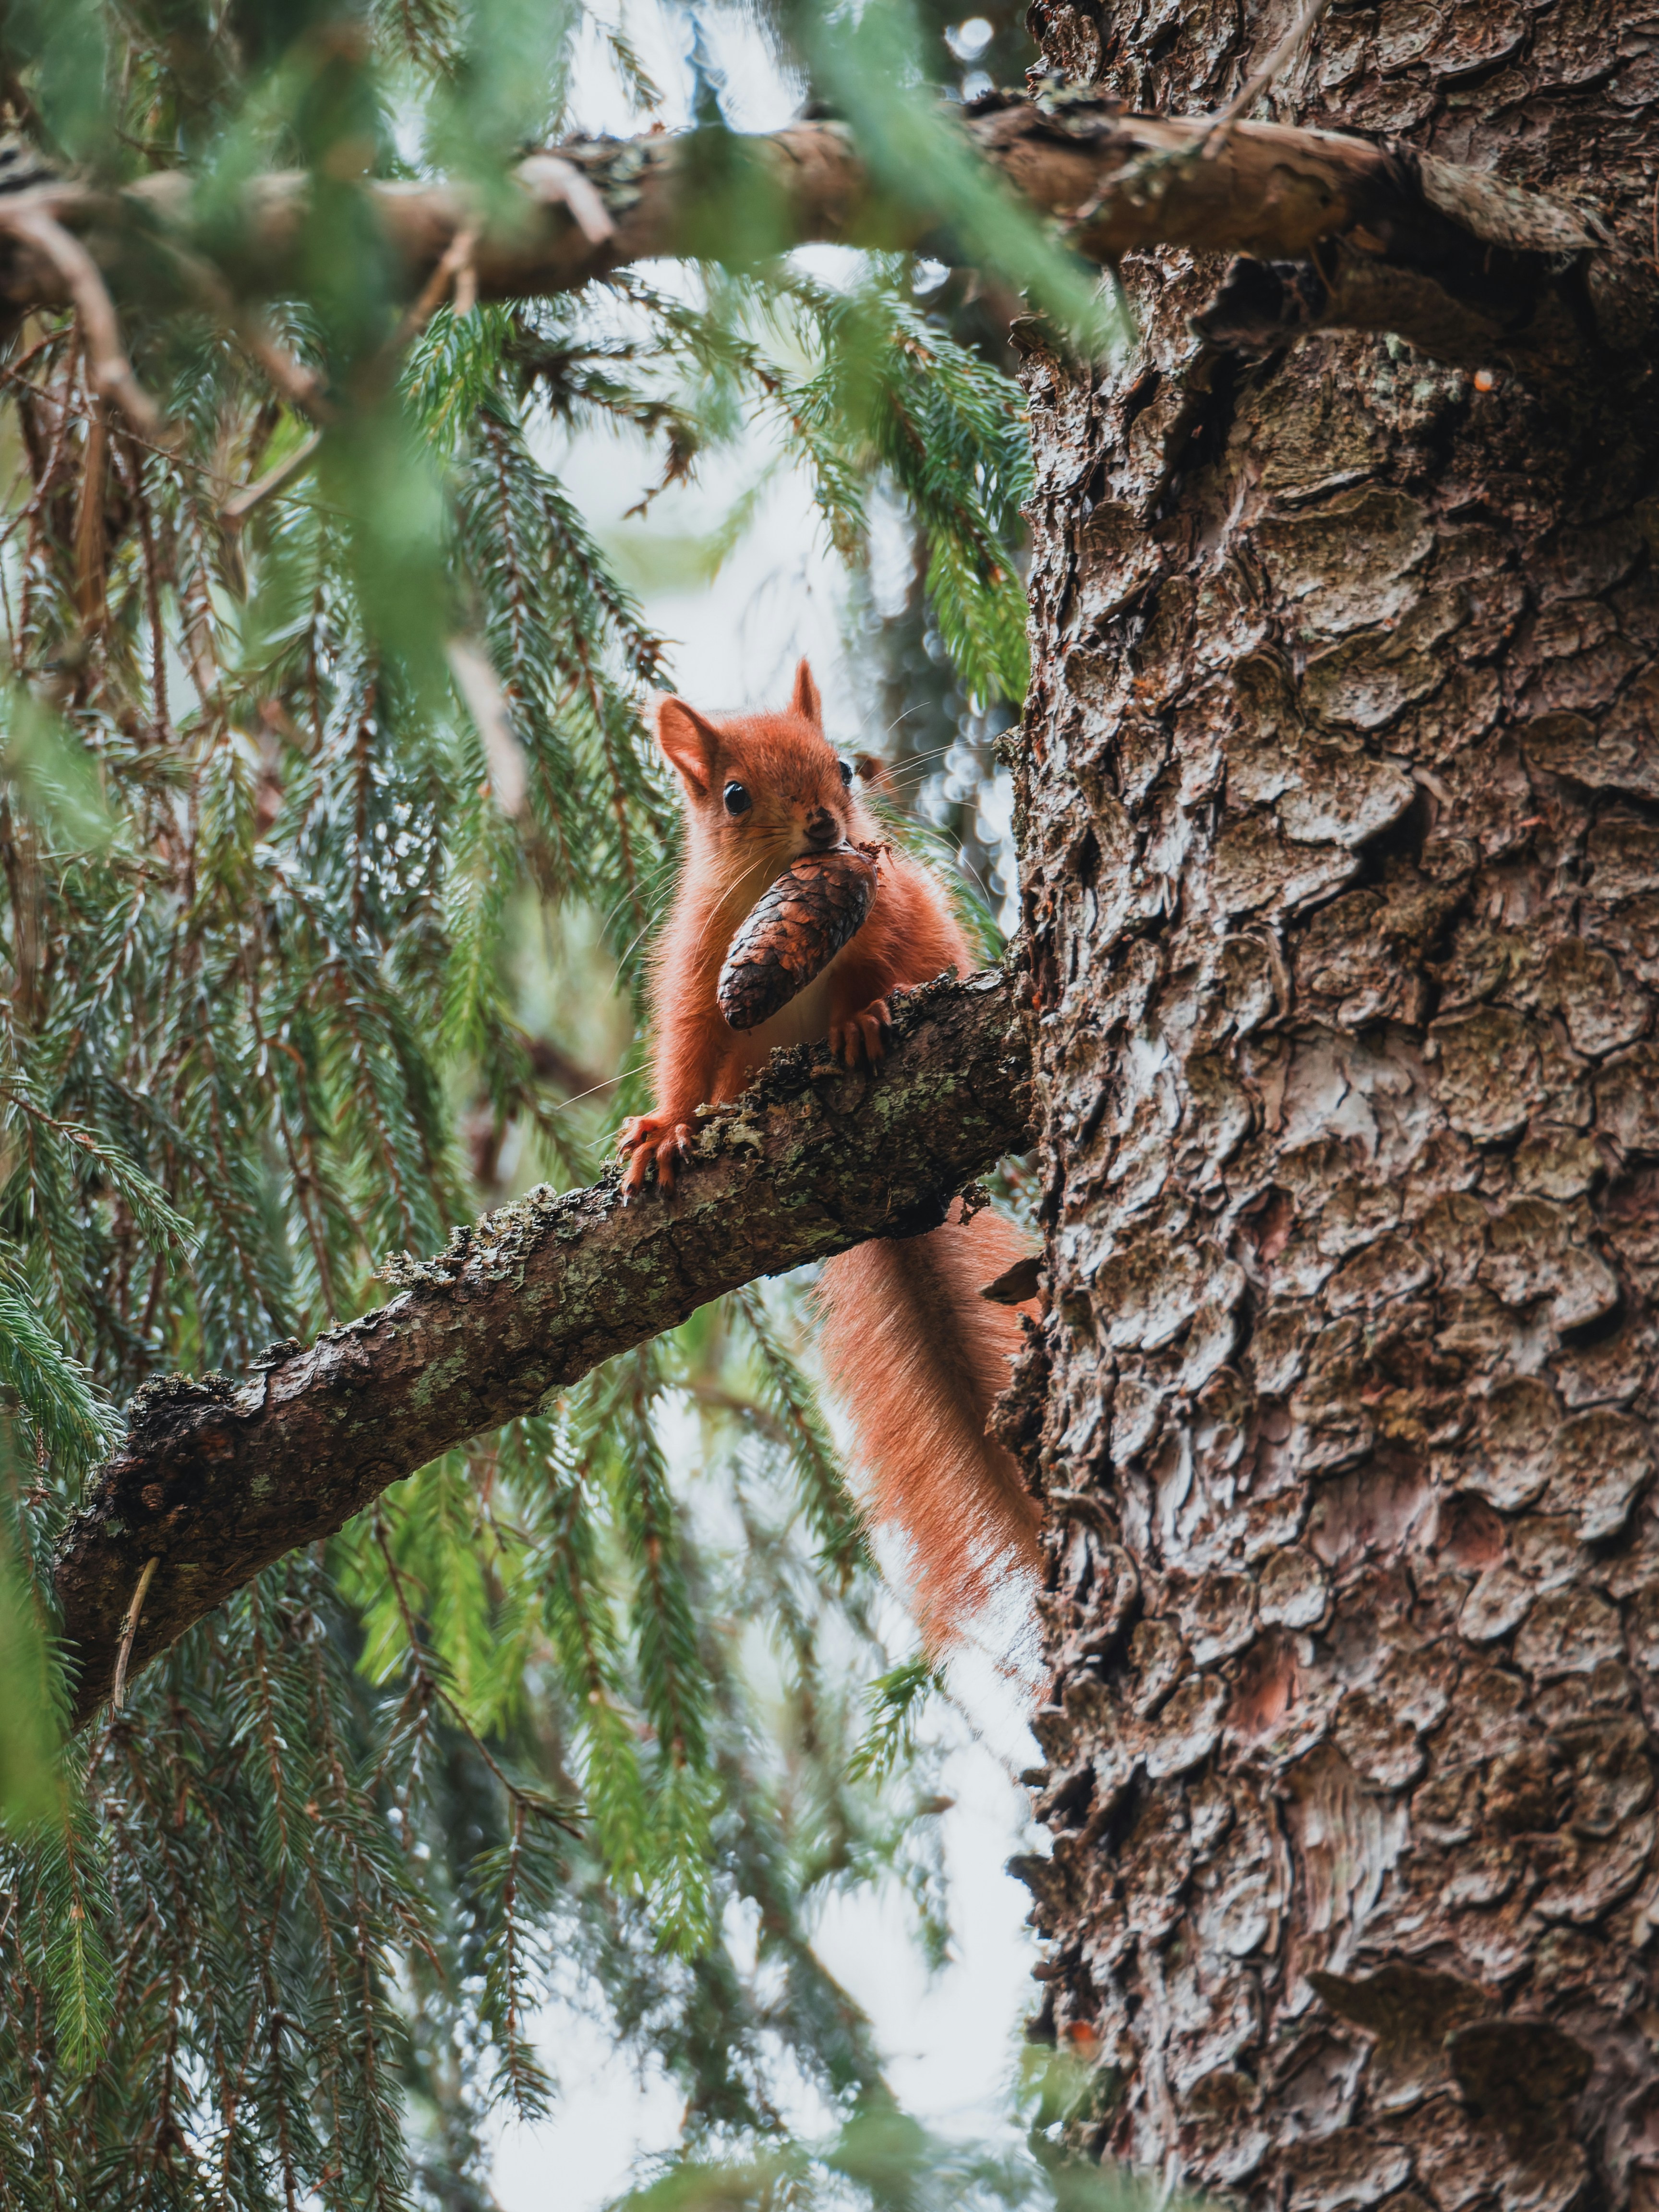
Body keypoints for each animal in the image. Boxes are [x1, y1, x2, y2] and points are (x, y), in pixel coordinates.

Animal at [618, 657, 1041, 1647]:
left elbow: (878, 970)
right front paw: (666, 1130)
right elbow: (687, 1050)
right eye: (734, 795)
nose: (825, 825)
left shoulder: (885, 909)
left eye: (842, 766)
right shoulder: (699, 965)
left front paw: (861, 1021)